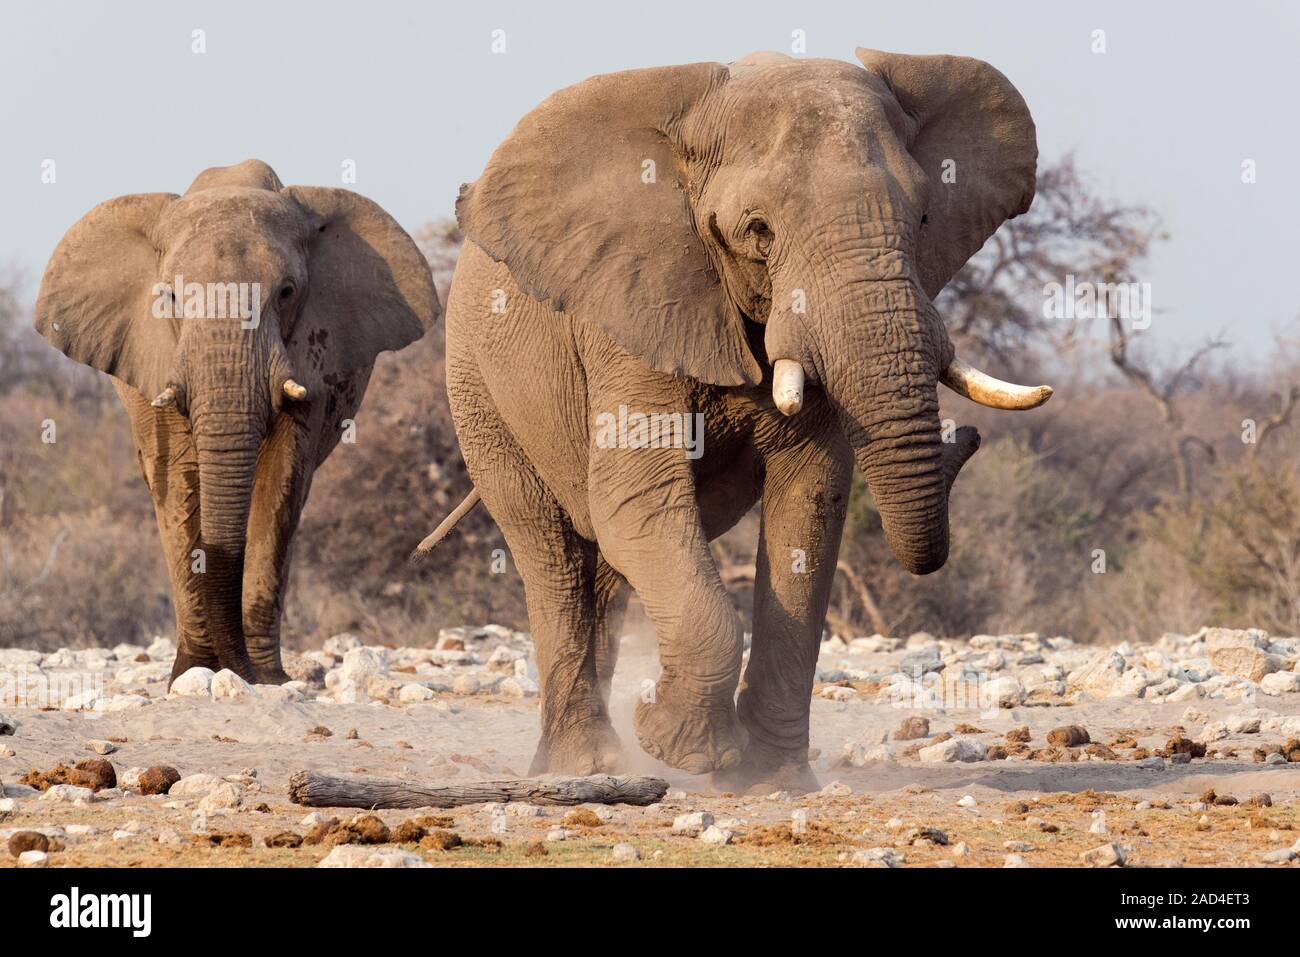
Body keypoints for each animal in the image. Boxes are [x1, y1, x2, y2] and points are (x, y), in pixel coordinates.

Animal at [34, 159, 440, 685]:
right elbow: (180, 481)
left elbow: (280, 480)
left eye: (287, 293)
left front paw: (267, 680)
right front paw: (192, 674)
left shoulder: (313, 355)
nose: (241, 668)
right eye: (170, 296)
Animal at [427, 48, 1054, 791]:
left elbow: (810, 500)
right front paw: (679, 746)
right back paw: (585, 764)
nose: (970, 435)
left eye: (925, 217)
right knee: (550, 550)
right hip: (477, 390)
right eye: (758, 232)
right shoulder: (628, 306)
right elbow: (637, 497)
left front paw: (770, 776)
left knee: (607, 566)